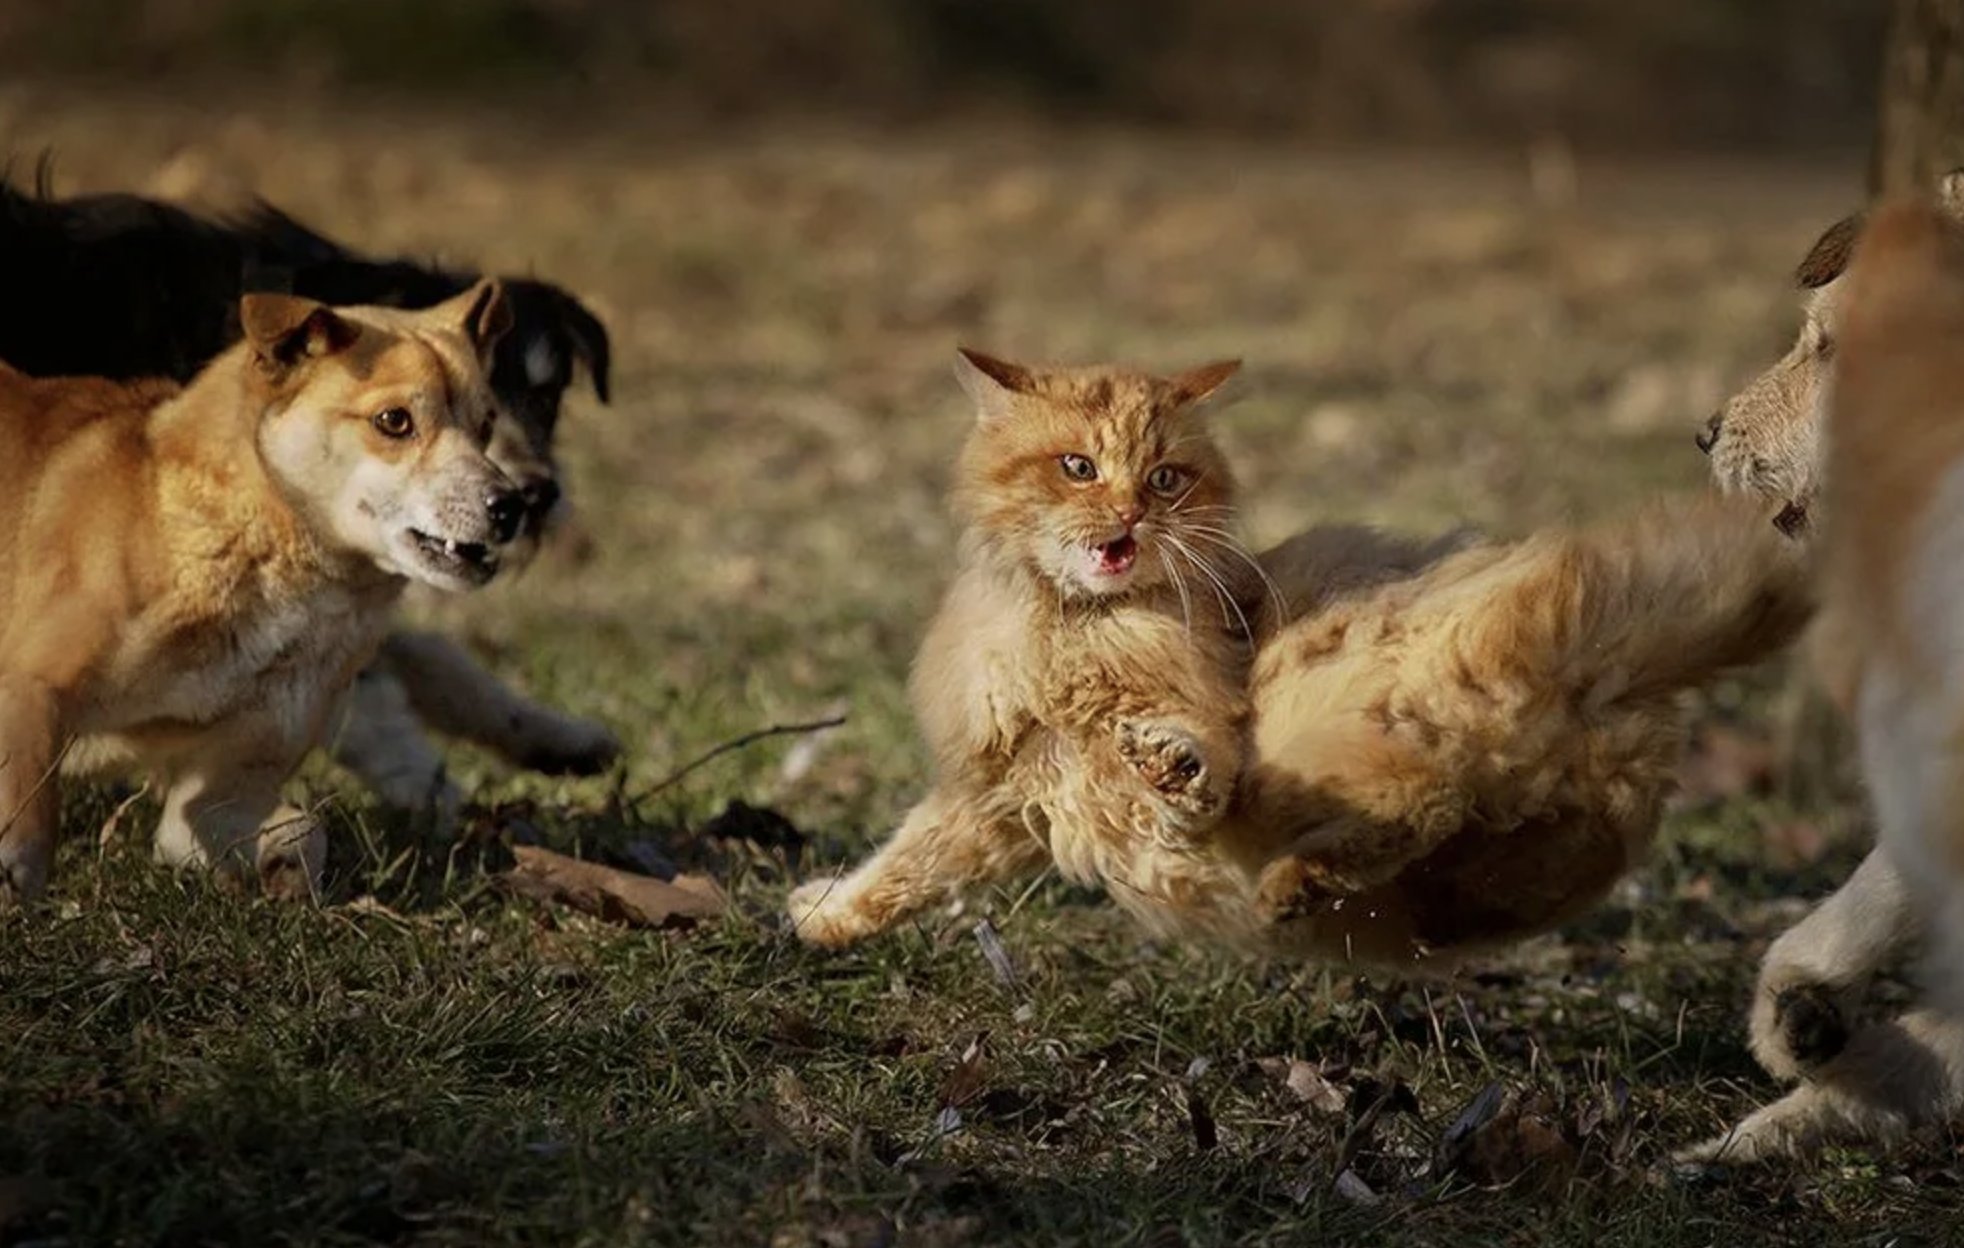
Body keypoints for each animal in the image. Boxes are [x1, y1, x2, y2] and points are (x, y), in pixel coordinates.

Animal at [0, 284, 522, 907]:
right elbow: (27, 818)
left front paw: (278, 880)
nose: (513, 506)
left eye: (486, 424)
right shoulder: (29, 685)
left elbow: (302, 832)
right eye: (394, 421)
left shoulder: (223, 785)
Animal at [789, 351, 1814, 966]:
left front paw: (1167, 768)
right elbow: (907, 865)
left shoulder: (1195, 732)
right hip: (1513, 863)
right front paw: (823, 916)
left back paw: (1290, 883)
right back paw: (1309, 886)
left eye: (1165, 478)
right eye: (1078, 468)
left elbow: (1179, 778)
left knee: (1417, 799)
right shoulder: (1004, 794)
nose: (1129, 516)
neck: (1075, 633)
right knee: (1440, 827)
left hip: (1326, 737)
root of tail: (1591, 671)